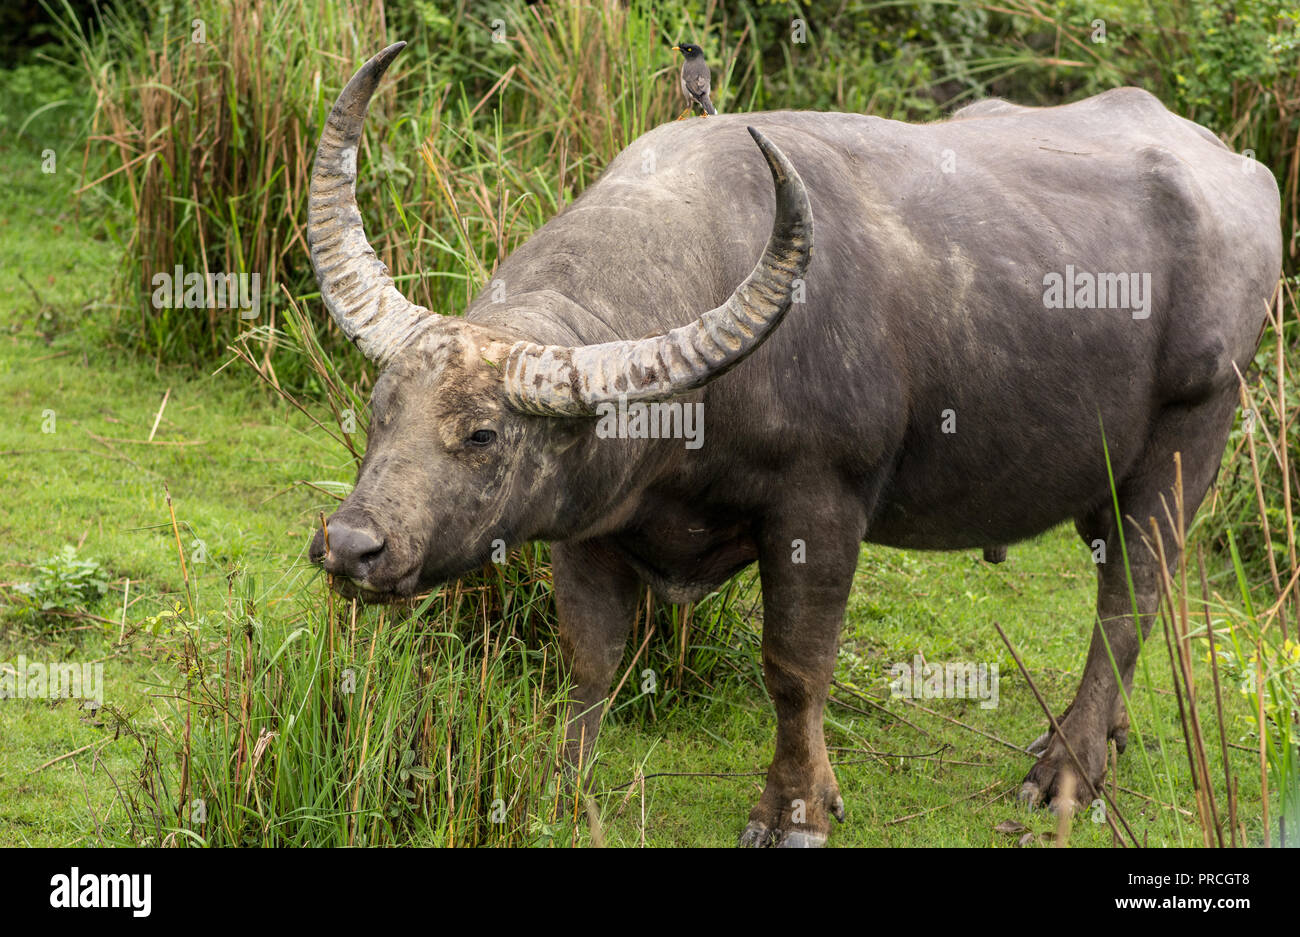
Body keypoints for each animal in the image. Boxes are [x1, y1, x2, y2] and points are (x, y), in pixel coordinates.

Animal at [301, 43, 1279, 847]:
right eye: (380, 407)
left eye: (483, 433)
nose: (351, 545)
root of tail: (1244, 174)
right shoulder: (588, 526)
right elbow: (591, 658)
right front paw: (556, 785)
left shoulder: (822, 507)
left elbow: (796, 669)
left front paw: (797, 808)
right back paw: (1102, 737)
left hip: (1190, 435)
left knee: (1132, 594)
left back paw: (1067, 768)